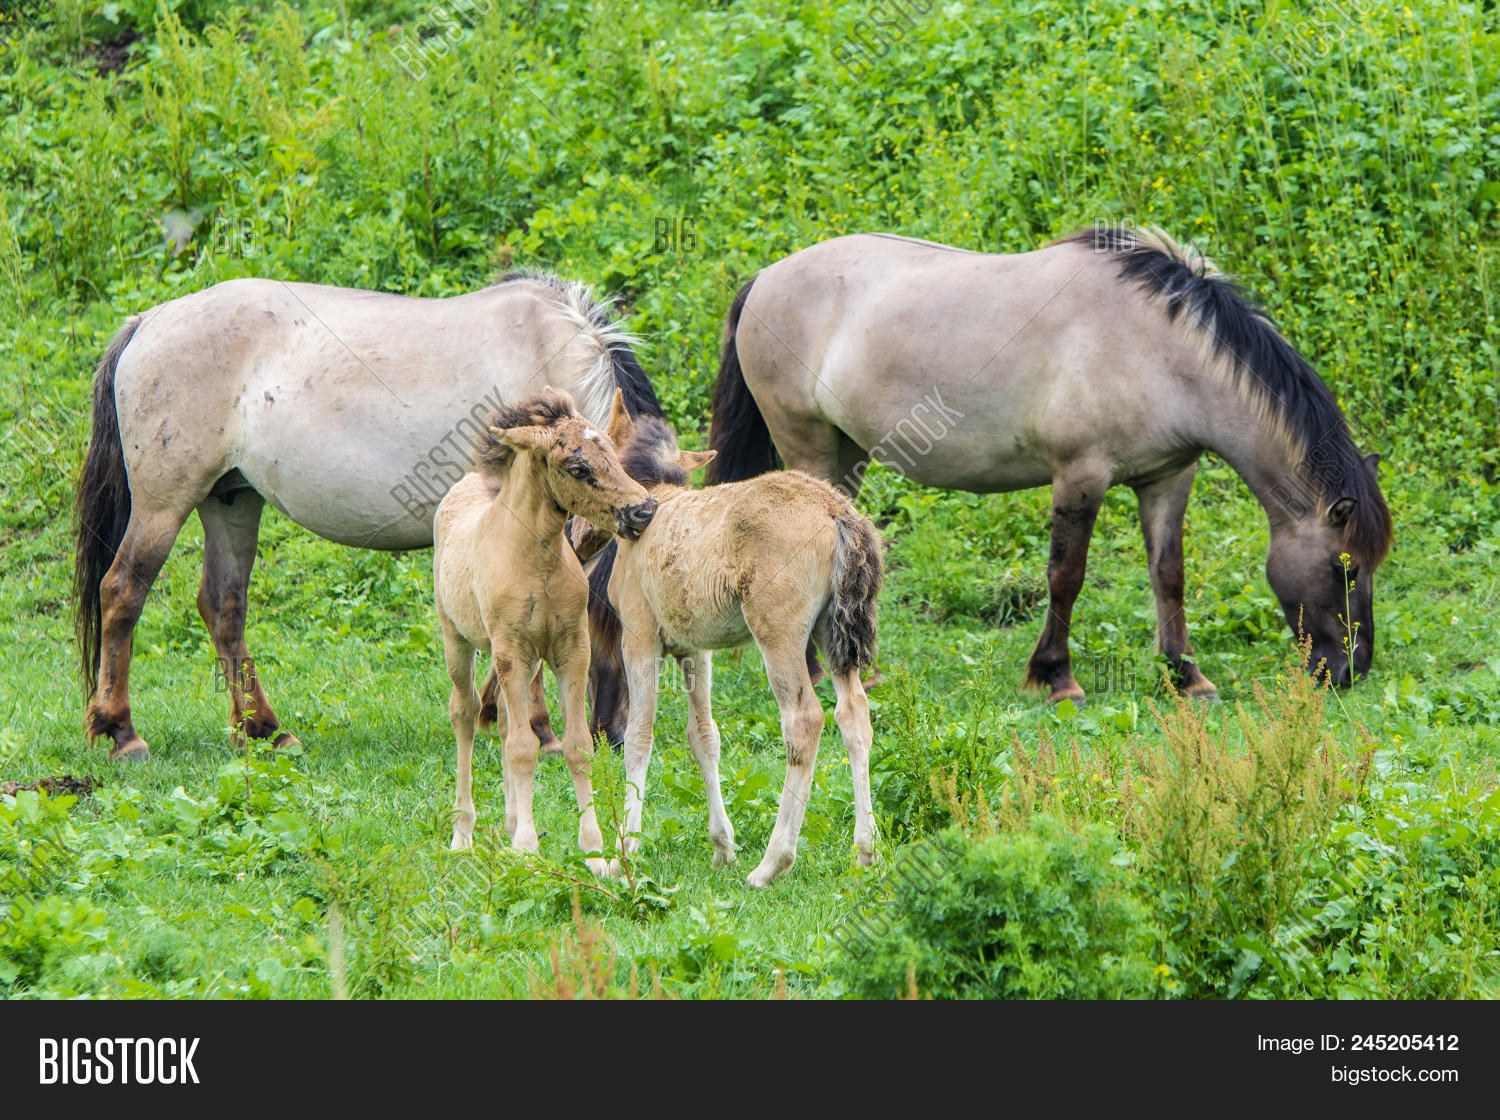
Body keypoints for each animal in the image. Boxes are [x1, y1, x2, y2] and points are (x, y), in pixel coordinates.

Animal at [73, 271, 660, 761]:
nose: (616, 736)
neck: (546, 356)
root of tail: (149, 321)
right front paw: (538, 729)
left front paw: (498, 713)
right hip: (163, 504)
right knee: (122, 591)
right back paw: (122, 733)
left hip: (230, 500)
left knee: (223, 607)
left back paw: (264, 730)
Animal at [434, 388, 656, 871]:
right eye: (579, 468)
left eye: (613, 455)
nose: (644, 509)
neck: (534, 563)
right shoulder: (510, 650)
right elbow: (523, 747)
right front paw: (527, 849)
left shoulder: (572, 649)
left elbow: (576, 746)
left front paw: (593, 851)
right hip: (457, 638)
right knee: (465, 713)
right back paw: (463, 834)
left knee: (499, 718)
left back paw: (510, 821)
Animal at [602, 407, 883, 888]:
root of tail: (836, 511)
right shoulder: (694, 649)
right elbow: (704, 735)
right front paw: (722, 848)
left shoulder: (638, 635)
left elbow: (640, 734)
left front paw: (625, 854)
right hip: (832, 634)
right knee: (854, 714)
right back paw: (865, 852)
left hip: (779, 633)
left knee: (804, 720)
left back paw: (772, 863)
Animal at [708, 227, 1393, 703]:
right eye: (1345, 568)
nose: (1351, 670)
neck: (1158, 347)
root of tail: (765, 277)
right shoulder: (1080, 475)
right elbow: (1067, 575)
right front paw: (1055, 677)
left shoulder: (1168, 476)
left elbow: (1168, 574)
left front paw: (1186, 675)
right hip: (810, 448)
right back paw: (816, 672)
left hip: (846, 455)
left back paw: (861, 673)